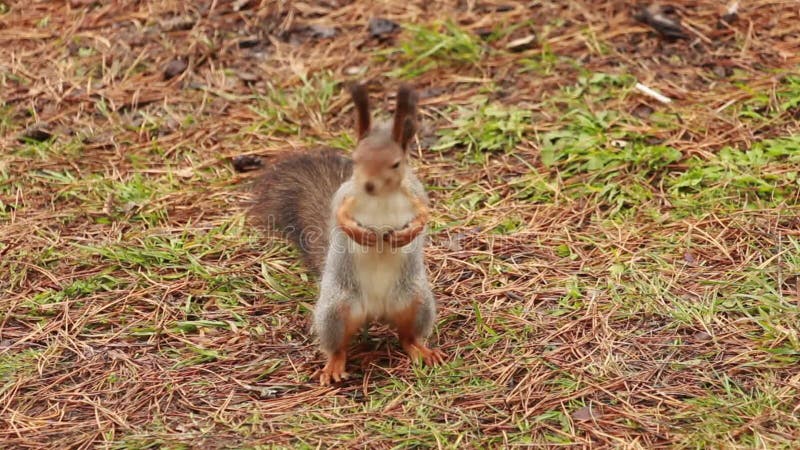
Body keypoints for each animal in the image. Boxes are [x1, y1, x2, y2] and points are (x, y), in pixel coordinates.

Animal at [252, 83, 445, 385]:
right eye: (356, 159)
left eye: (396, 164)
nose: (368, 185)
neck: (380, 197)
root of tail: (376, 311)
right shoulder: (345, 196)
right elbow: (339, 219)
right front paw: (361, 235)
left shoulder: (416, 194)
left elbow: (425, 216)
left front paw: (405, 235)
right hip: (336, 311)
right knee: (338, 346)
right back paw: (333, 365)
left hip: (417, 303)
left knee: (407, 336)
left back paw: (421, 350)